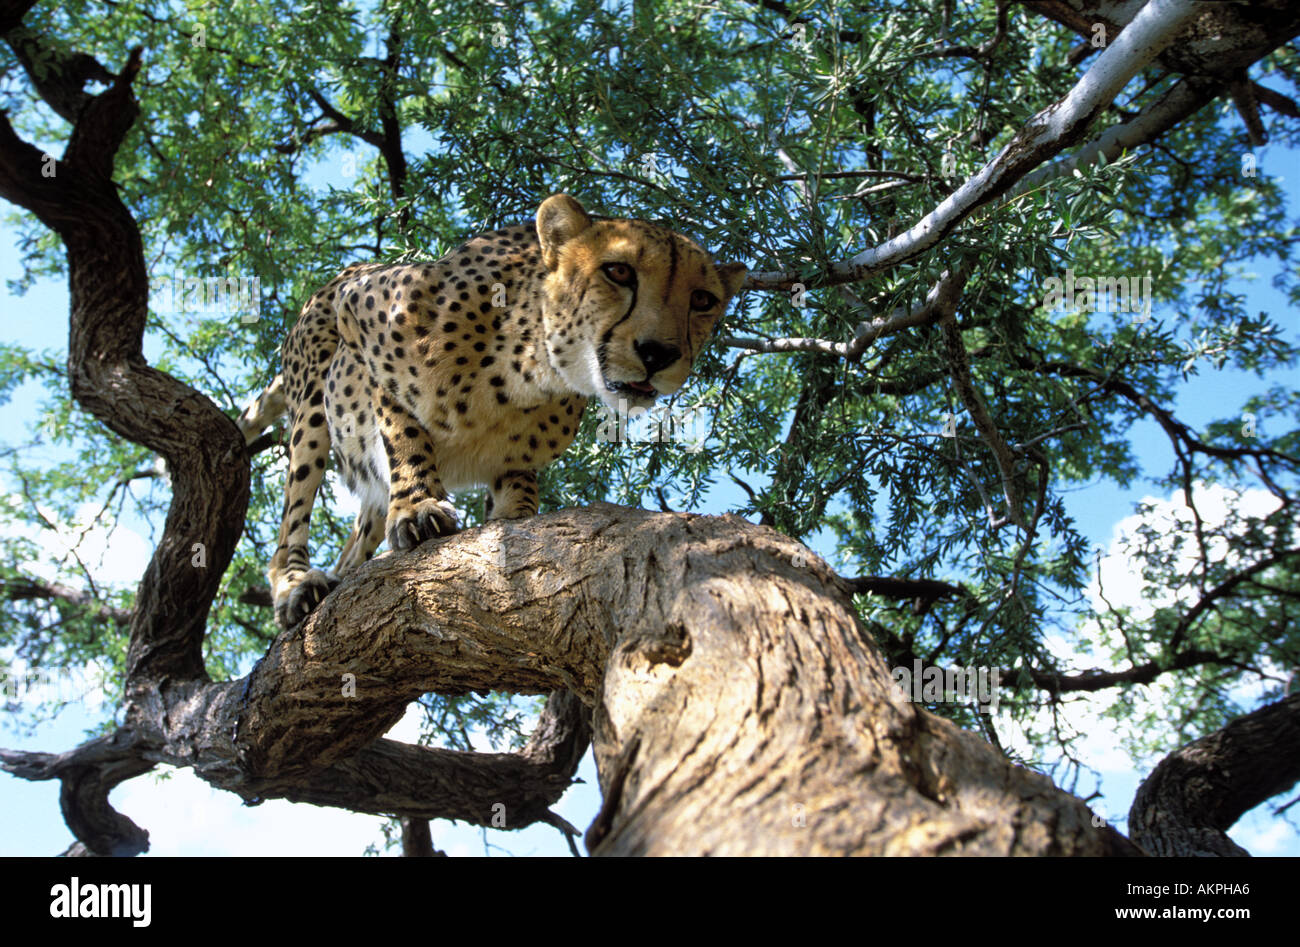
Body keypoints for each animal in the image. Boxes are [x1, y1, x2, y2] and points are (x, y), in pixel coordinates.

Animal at [239, 194, 747, 629]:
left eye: (703, 300)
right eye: (618, 271)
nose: (658, 353)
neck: (529, 367)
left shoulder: (516, 461)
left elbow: (518, 492)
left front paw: (512, 515)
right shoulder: (359, 314)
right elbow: (404, 431)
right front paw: (418, 505)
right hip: (312, 405)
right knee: (293, 517)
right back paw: (295, 584)